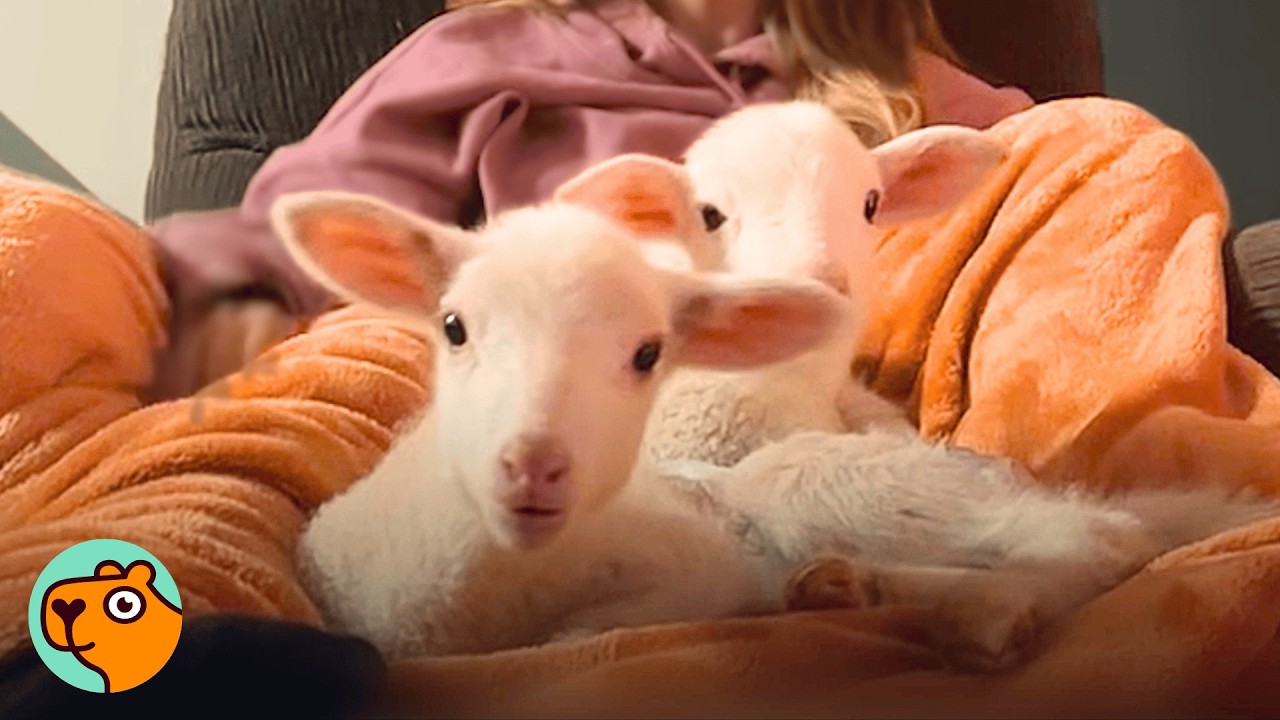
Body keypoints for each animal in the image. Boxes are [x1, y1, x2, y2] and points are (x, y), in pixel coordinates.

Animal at [280, 156, 1278, 673]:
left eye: (648, 355)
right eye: (453, 326)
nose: (533, 464)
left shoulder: (695, 571)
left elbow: (601, 632)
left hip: (825, 480)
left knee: (1100, 539)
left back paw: (982, 616)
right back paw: (853, 589)